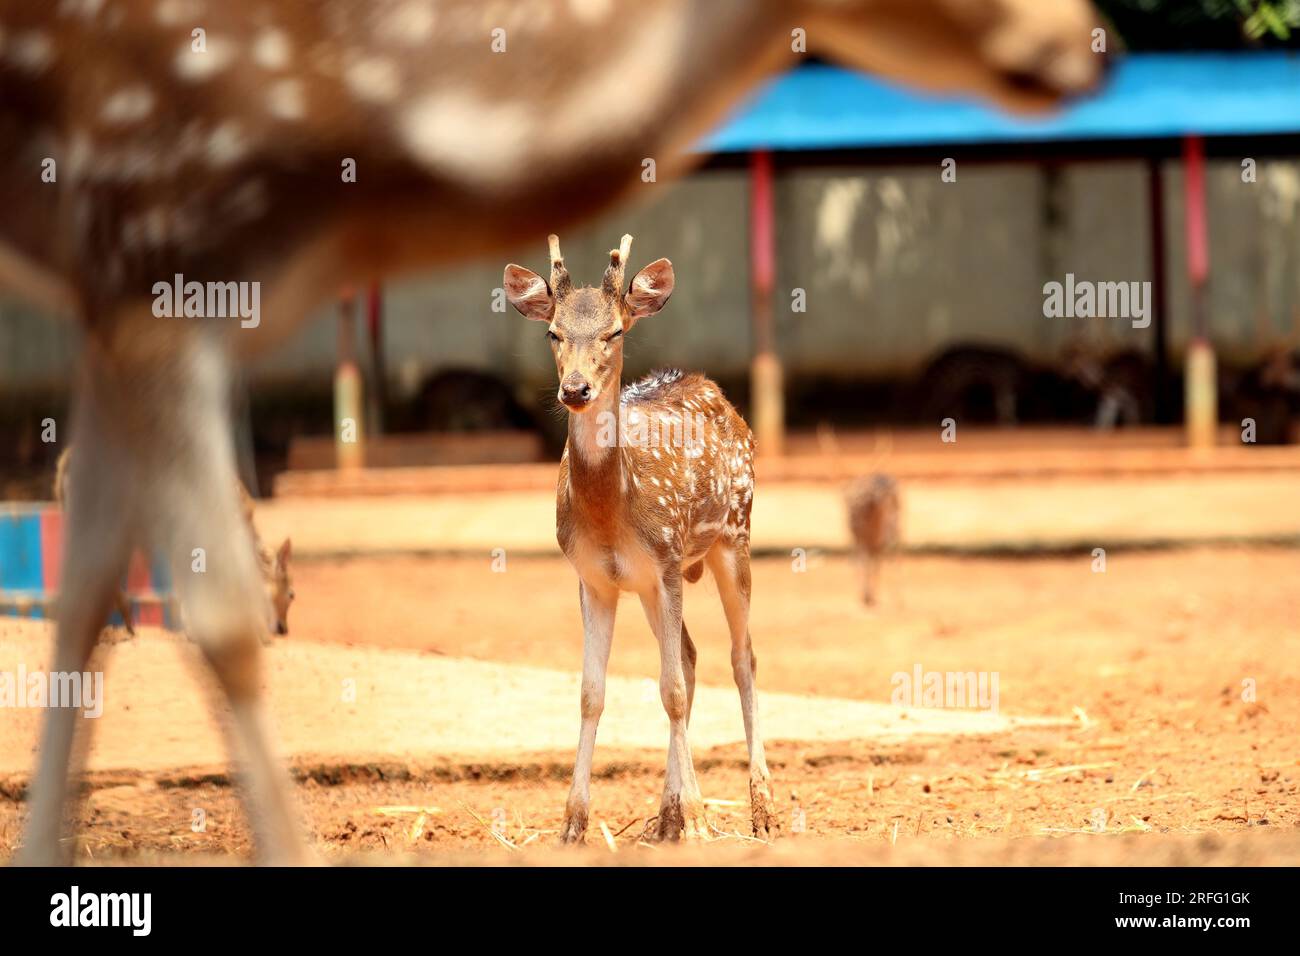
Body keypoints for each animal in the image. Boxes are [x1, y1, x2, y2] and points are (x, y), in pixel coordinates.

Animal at [505, 235, 769, 842]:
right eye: (553, 332)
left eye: (614, 332)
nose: (575, 388)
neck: (612, 514)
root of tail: (713, 388)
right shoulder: (595, 579)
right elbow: (591, 693)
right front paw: (573, 824)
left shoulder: (667, 561)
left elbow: (669, 690)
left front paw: (699, 819)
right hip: (654, 583)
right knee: (691, 656)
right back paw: (667, 814)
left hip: (733, 536)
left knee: (741, 656)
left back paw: (761, 807)